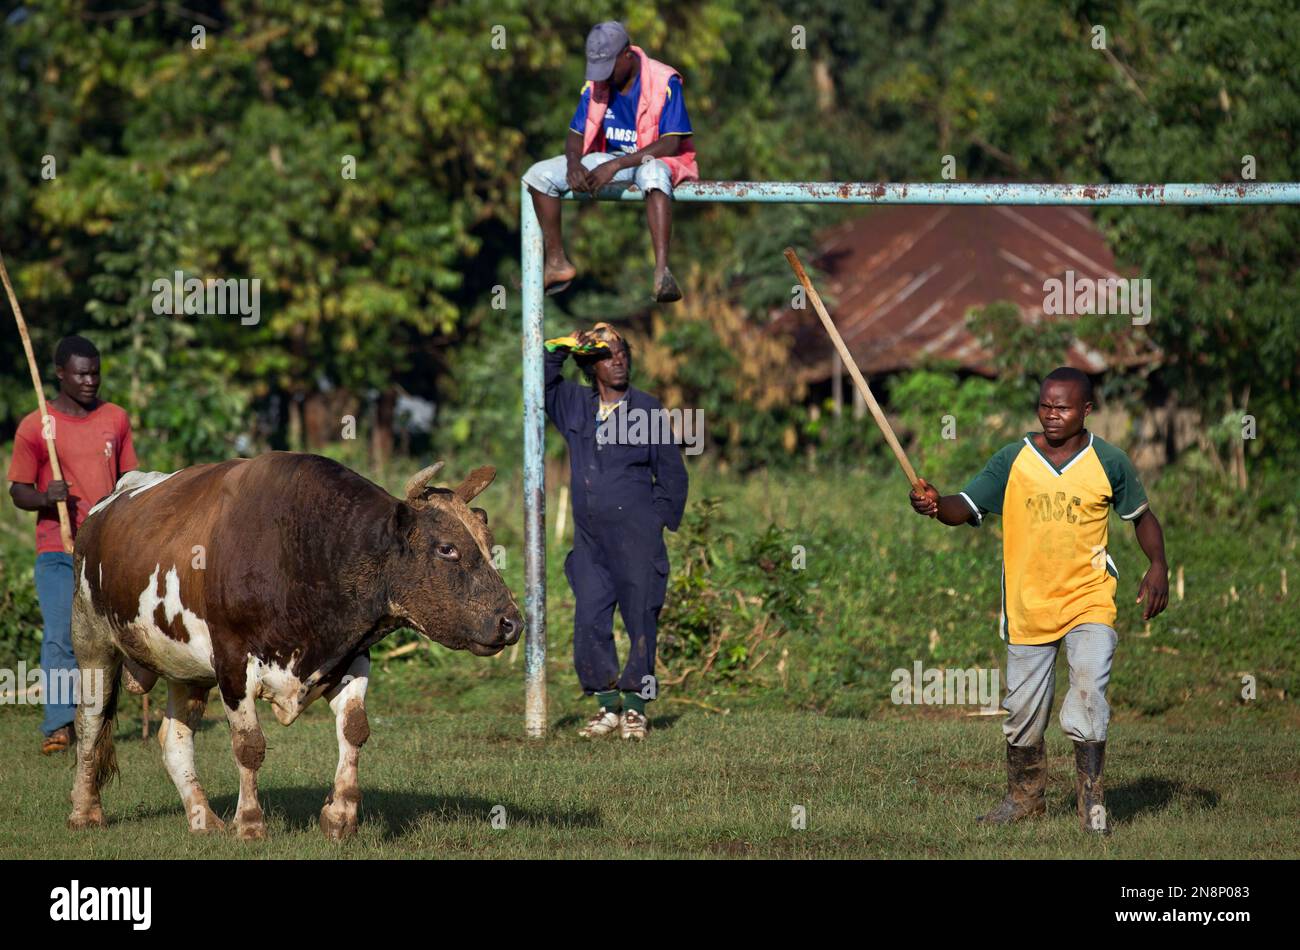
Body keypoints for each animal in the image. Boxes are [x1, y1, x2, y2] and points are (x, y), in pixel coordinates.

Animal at [65, 452, 521, 840]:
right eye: (447, 548)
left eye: (488, 542)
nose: (512, 622)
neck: (309, 549)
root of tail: (106, 505)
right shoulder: (233, 662)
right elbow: (249, 746)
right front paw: (250, 823)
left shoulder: (350, 654)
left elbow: (354, 729)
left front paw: (340, 816)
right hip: (92, 639)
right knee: (90, 723)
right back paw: (85, 811)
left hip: (185, 669)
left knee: (174, 739)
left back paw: (202, 817)